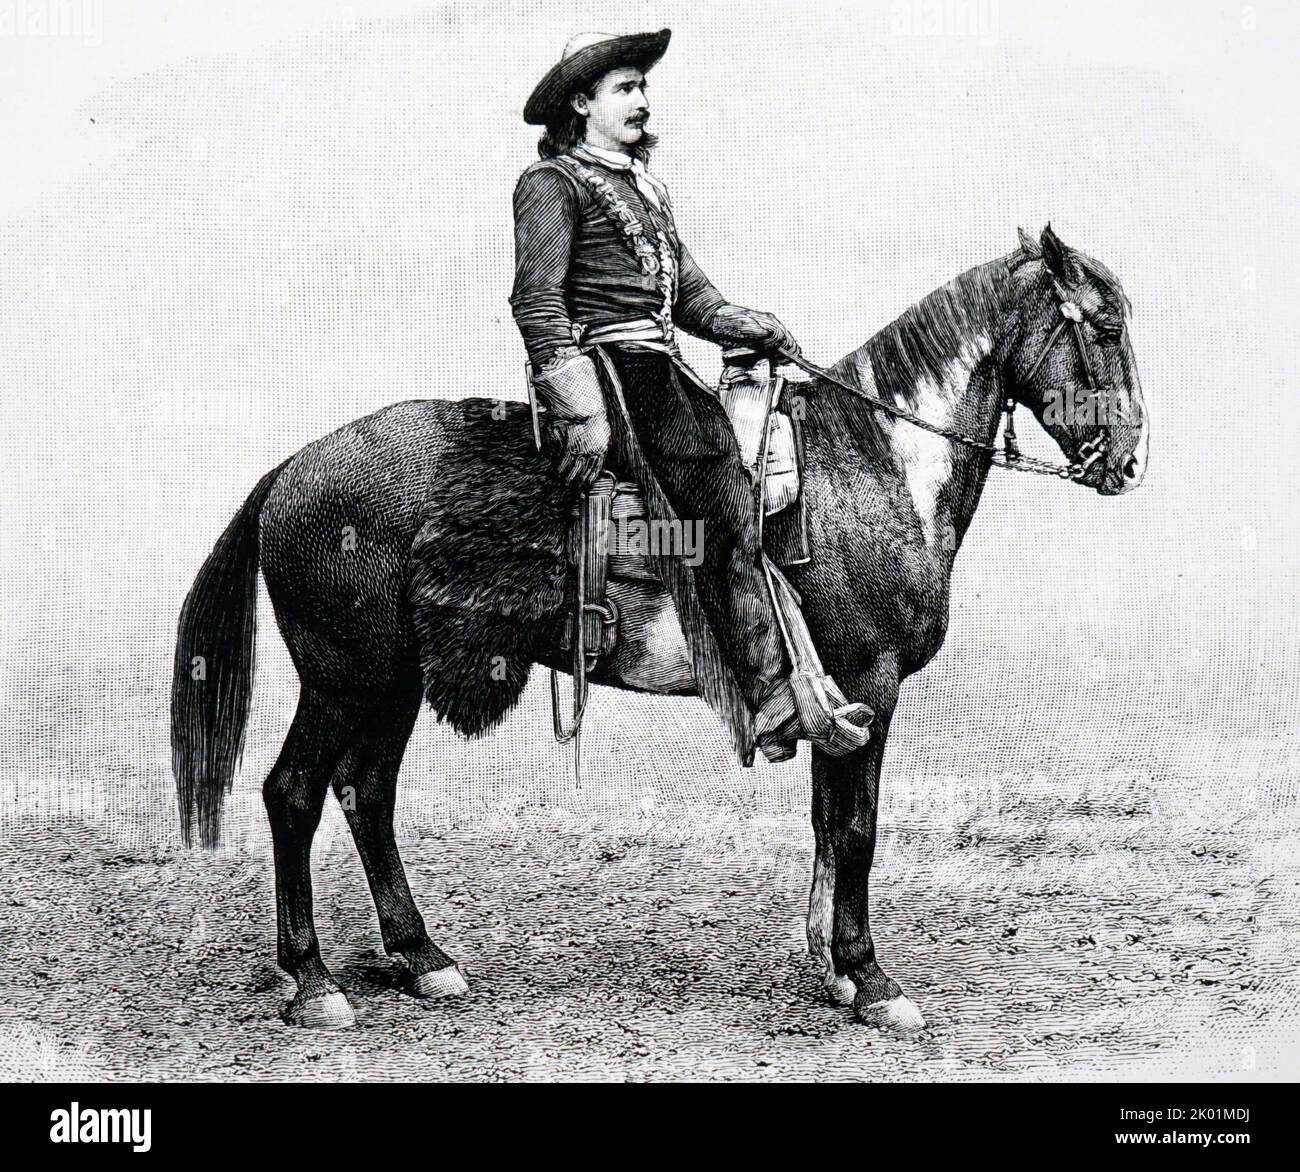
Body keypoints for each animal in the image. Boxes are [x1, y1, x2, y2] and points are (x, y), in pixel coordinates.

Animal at [170, 224, 1149, 1034]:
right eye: (1103, 325)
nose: (1131, 459)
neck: (870, 465)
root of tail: (292, 470)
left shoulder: (841, 699)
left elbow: (828, 823)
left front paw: (831, 969)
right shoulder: (869, 685)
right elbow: (859, 830)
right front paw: (872, 981)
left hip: (393, 683)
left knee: (367, 794)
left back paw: (421, 957)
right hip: (344, 679)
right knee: (295, 794)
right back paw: (313, 982)